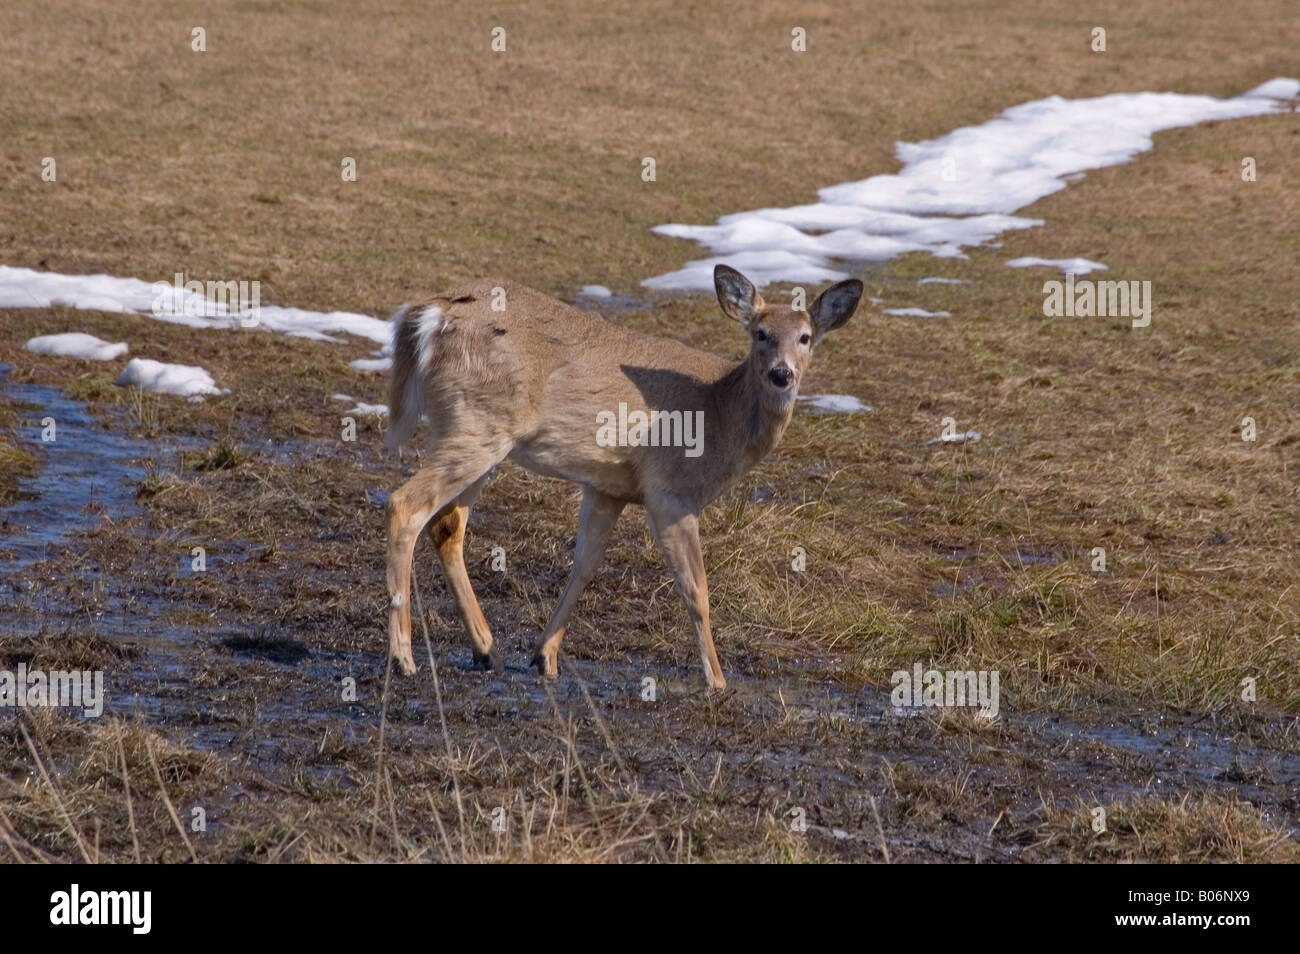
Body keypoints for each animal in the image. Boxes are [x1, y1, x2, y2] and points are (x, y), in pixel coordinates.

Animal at [383, 265, 863, 690]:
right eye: (760, 333)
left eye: (806, 337)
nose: (782, 373)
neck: (719, 412)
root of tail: (431, 315)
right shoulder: (670, 490)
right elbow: (696, 588)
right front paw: (717, 679)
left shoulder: (607, 486)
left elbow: (585, 564)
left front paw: (545, 656)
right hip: (478, 423)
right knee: (406, 505)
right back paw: (404, 657)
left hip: (473, 429)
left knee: (447, 525)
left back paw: (487, 651)